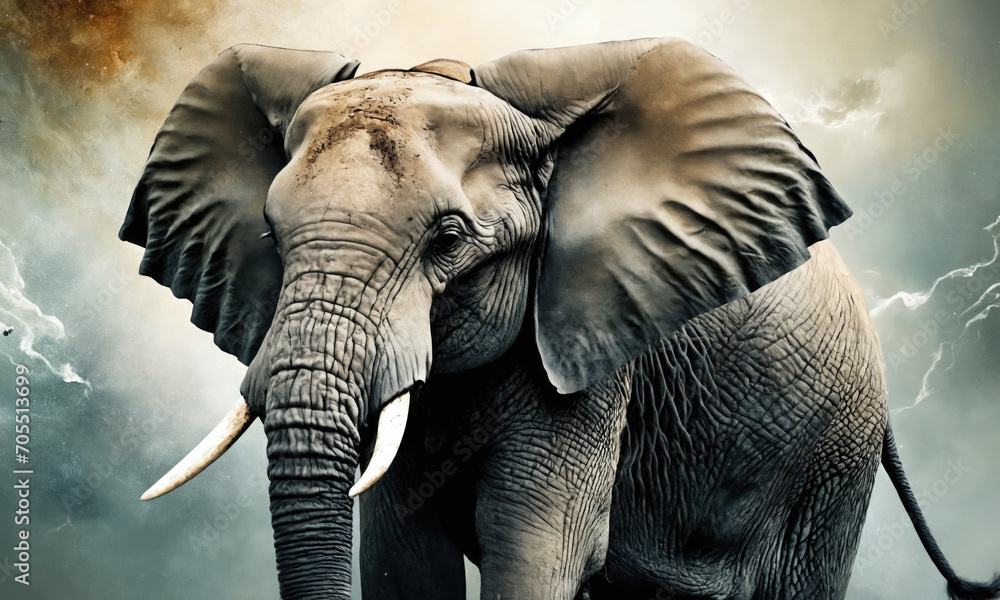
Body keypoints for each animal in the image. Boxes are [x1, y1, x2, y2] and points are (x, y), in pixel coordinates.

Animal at [121, 38, 1000, 599]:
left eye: (448, 239)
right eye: (271, 236)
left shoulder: (593, 357)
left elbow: (536, 549)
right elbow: (404, 561)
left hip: (832, 457)